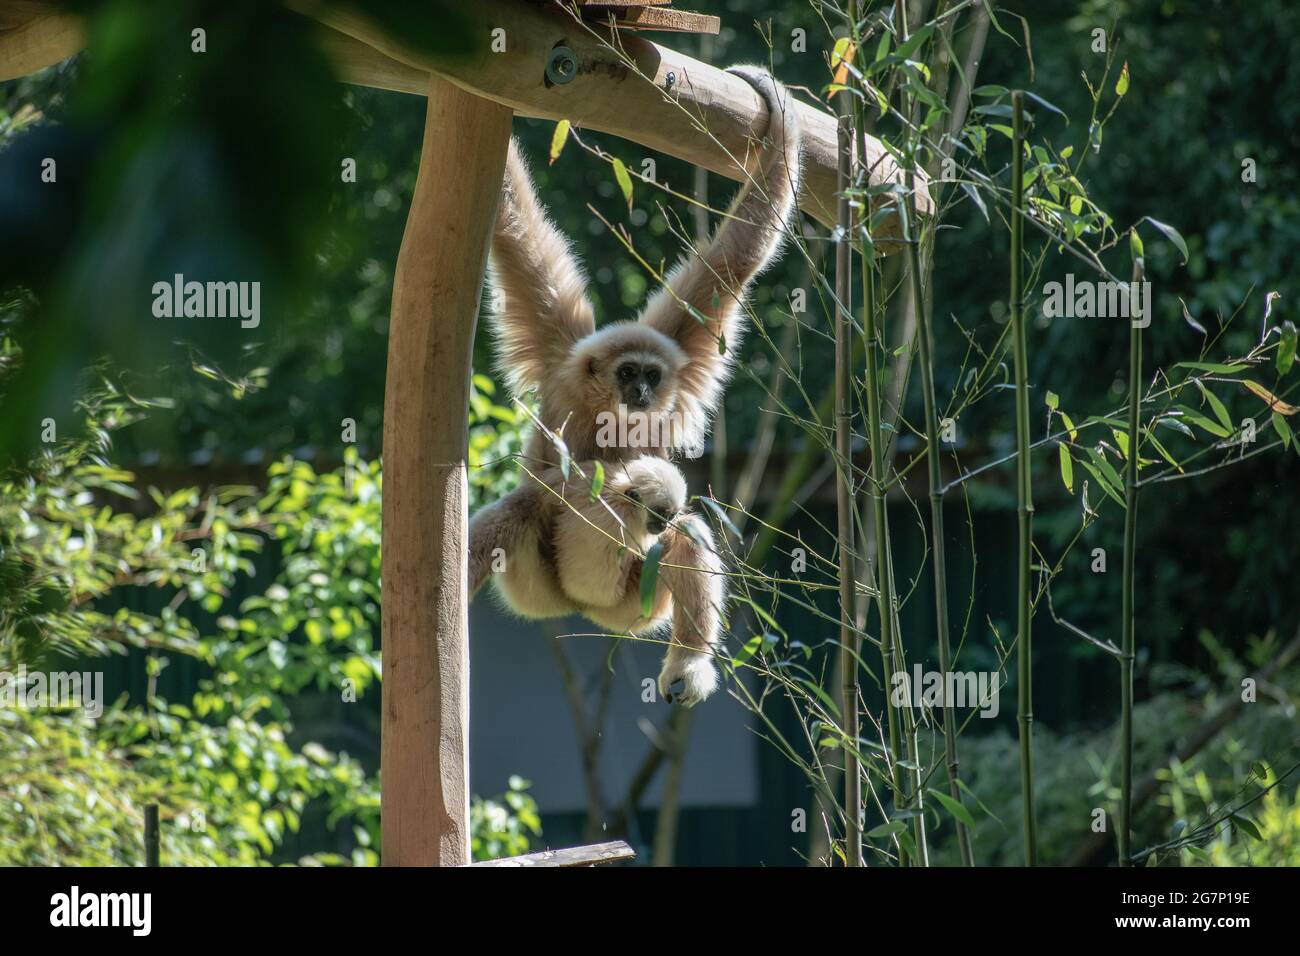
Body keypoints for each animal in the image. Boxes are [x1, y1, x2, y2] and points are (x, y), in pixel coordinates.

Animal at [470, 65, 803, 705]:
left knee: (687, 528)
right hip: (535, 589)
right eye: (628, 373)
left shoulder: (679, 344)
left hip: (639, 605)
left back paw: (688, 664)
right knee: (519, 509)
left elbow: (733, 262)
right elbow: (515, 232)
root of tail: (581, 613)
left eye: (651, 375)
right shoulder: (559, 353)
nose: (644, 393)